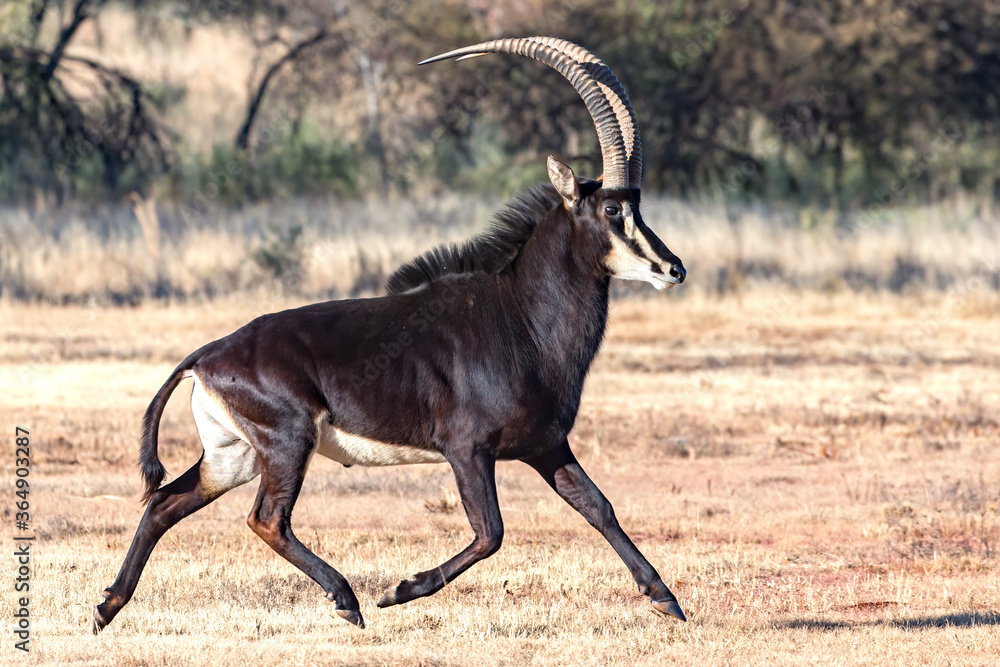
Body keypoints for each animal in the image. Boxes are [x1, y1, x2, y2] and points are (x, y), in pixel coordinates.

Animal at [93, 36, 687, 634]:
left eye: (638, 207)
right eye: (611, 208)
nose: (673, 268)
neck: (520, 317)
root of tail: (205, 356)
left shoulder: (547, 445)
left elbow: (599, 507)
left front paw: (666, 598)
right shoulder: (467, 449)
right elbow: (490, 533)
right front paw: (401, 590)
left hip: (233, 456)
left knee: (164, 504)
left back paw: (107, 606)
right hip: (286, 442)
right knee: (266, 520)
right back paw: (347, 599)